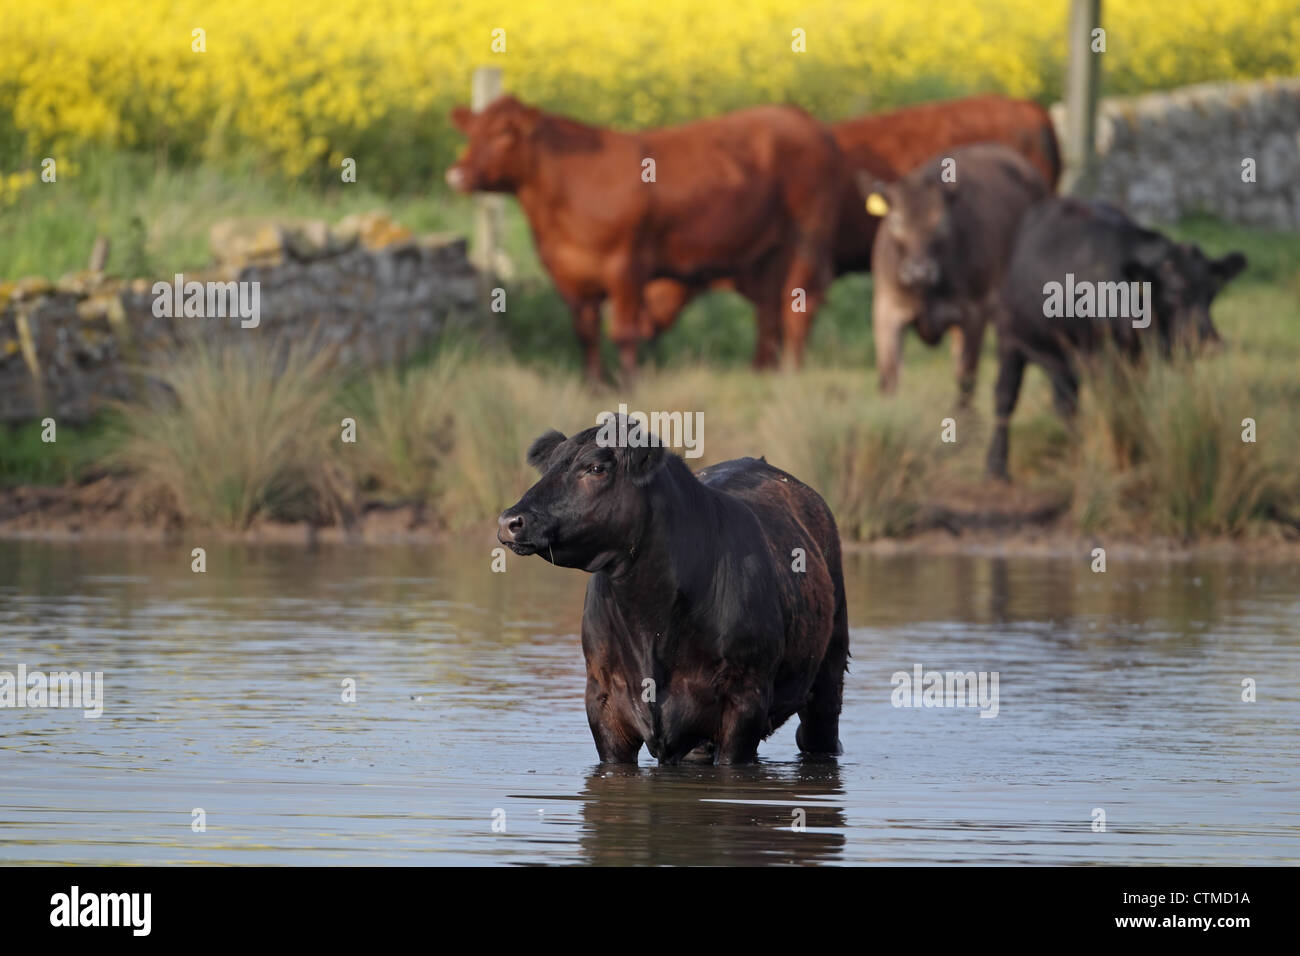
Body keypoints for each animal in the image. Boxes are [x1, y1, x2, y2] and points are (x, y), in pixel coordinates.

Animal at [446, 96, 844, 380]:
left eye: (504, 133)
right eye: (472, 133)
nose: (456, 175)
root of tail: (801, 117)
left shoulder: (625, 264)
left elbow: (624, 331)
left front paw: (628, 384)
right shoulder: (567, 274)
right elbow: (586, 332)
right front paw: (594, 384)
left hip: (807, 239)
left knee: (798, 307)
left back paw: (791, 374)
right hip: (767, 253)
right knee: (769, 310)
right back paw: (761, 371)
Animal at [497, 417, 849, 765]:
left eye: (596, 467)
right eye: (549, 467)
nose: (509, 521)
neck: (650, 623)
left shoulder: (745, 703)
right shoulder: (603, 703)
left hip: (829, 674)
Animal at [861, 144, 1050, 403]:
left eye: (940, 224)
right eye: (896, 222)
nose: (919, 271)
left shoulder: (974, 313)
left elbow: (966, 375)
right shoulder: (886, 310)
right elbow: (889, 376)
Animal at [985, 197, 1248, 480]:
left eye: (1213, 292)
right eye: (1175, 292)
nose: (1210, 344)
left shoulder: (1136, 362)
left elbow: (1131, 408)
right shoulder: (1101, 362)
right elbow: (1112, 413)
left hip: (1061, 357)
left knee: (1066, 406)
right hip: (1010, 339)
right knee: (1005, 398)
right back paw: (996, 466)